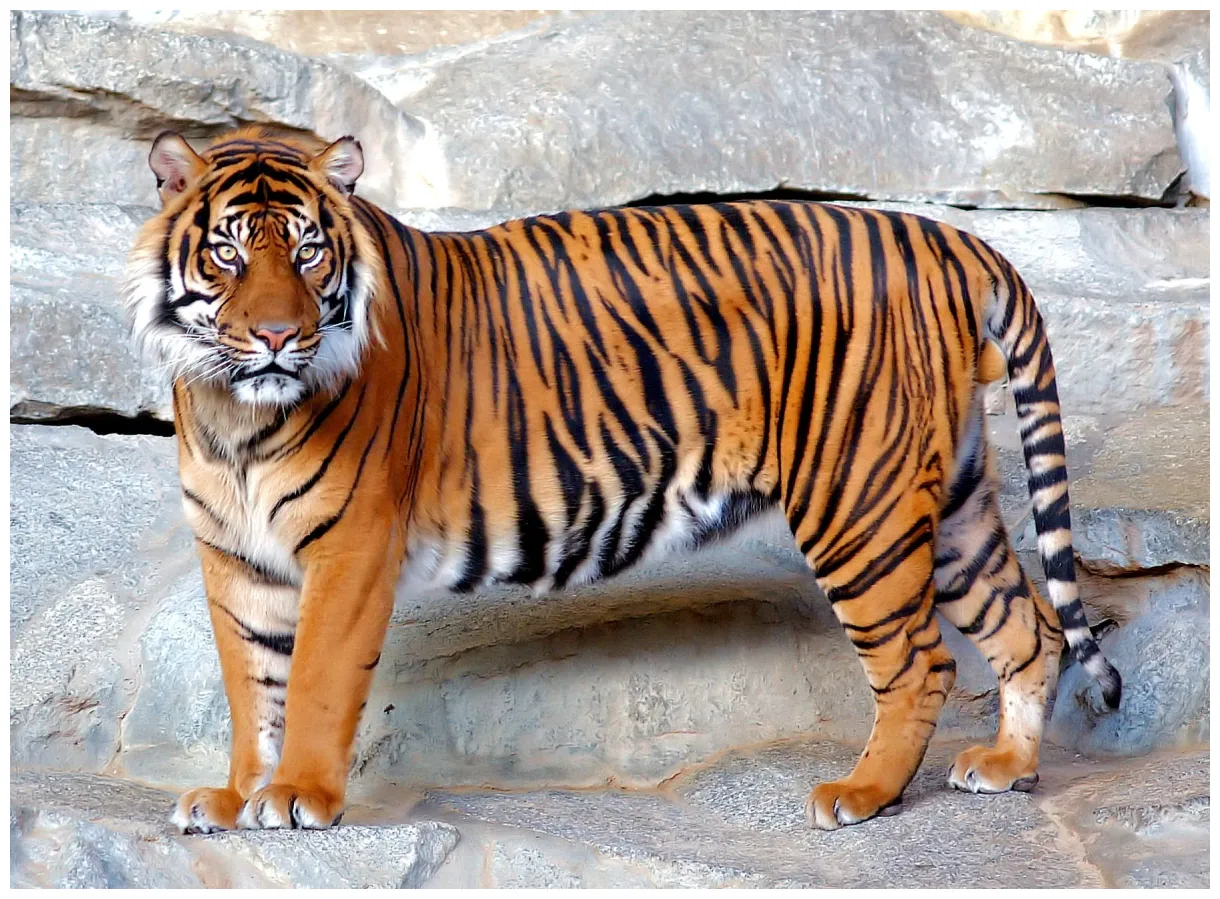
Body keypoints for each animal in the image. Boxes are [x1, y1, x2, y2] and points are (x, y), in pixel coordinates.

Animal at [124, 126, 1121, 834]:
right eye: (226, 254)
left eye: (308, 254)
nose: (276, 337)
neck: (236, 415)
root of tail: (950, 237)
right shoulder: (237, 558)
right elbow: (253, 687)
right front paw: (234, 796)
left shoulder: (350, 547)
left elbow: (316, 681)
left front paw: (298, 796)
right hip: (949, 501)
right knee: (1029, 627)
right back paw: (1006, 768)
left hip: (858, 505)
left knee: (921, 662)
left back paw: (863, 792)